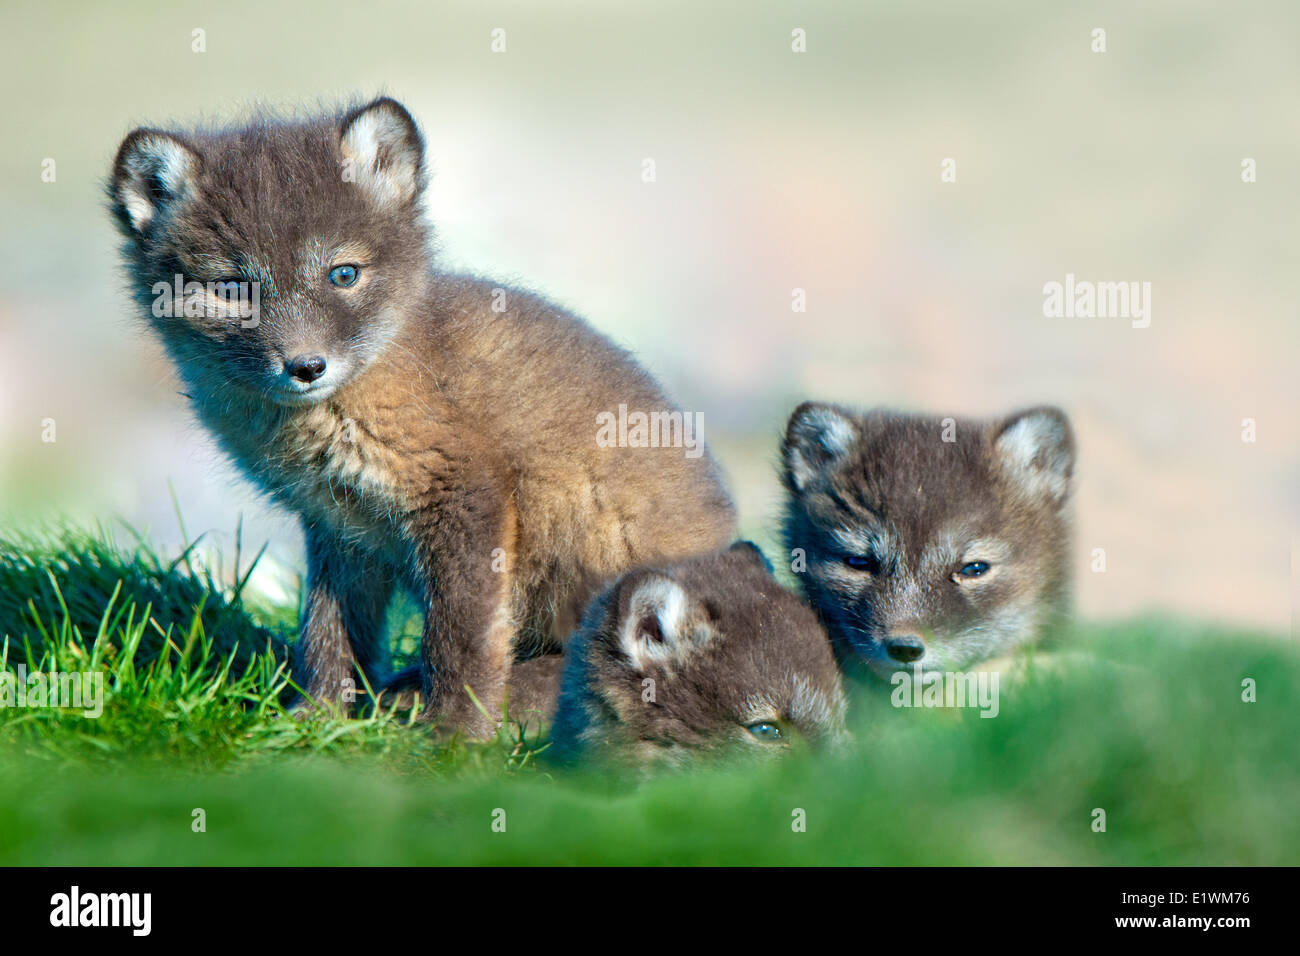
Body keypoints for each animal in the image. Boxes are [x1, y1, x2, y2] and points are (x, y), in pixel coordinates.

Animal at [107, 97, 736, 737]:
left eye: (343, 273)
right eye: (233, 288)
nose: (306, 366)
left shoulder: (464, 491)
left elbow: (461, 636)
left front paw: (456, 735)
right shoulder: (341, 526)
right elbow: (330, 632)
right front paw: (316, 720)